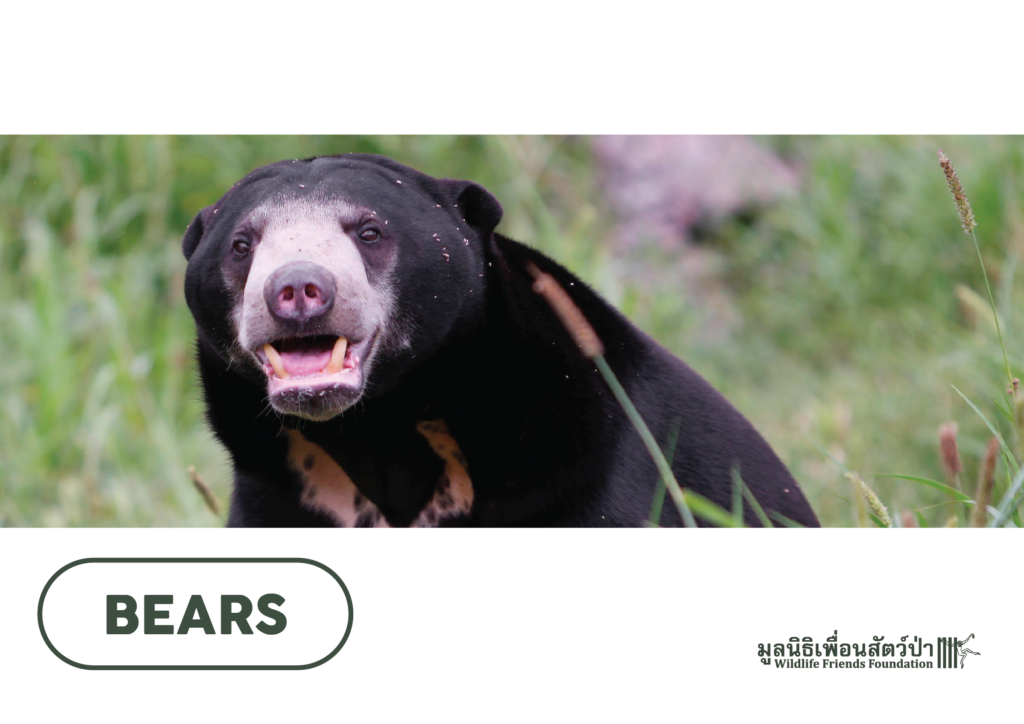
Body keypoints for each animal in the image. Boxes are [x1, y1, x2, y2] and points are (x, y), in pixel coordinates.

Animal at [182, 153, 819, 528]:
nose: (297, 289)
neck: (375, 431)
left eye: (369, 232)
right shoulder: (276, 497)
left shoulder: (583, 469)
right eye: (243, 245)